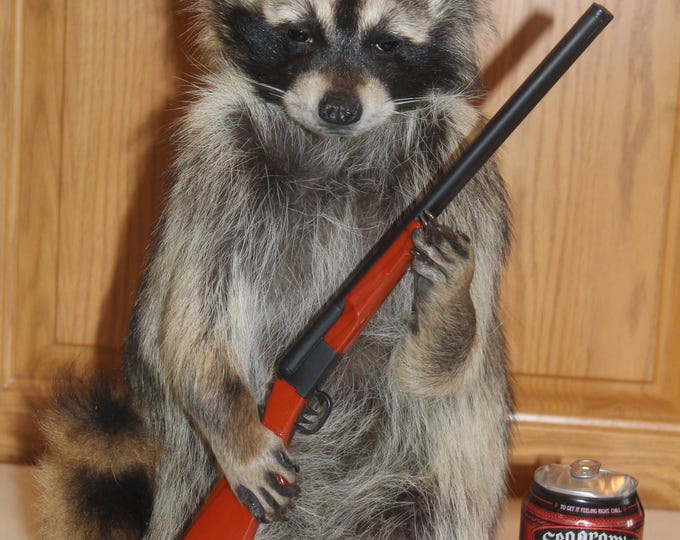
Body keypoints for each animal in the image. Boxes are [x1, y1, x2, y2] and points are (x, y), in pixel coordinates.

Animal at [39, 0, 512, 538]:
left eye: (386, 43)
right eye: (301, 35)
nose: (339, 109)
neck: (335, 152)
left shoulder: (462, 171)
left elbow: (435, 370)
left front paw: (449, 300)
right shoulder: (216, 157)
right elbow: (186, 325)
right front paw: (238, 433)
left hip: (421, 487)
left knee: (427, 510)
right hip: (186, 482)